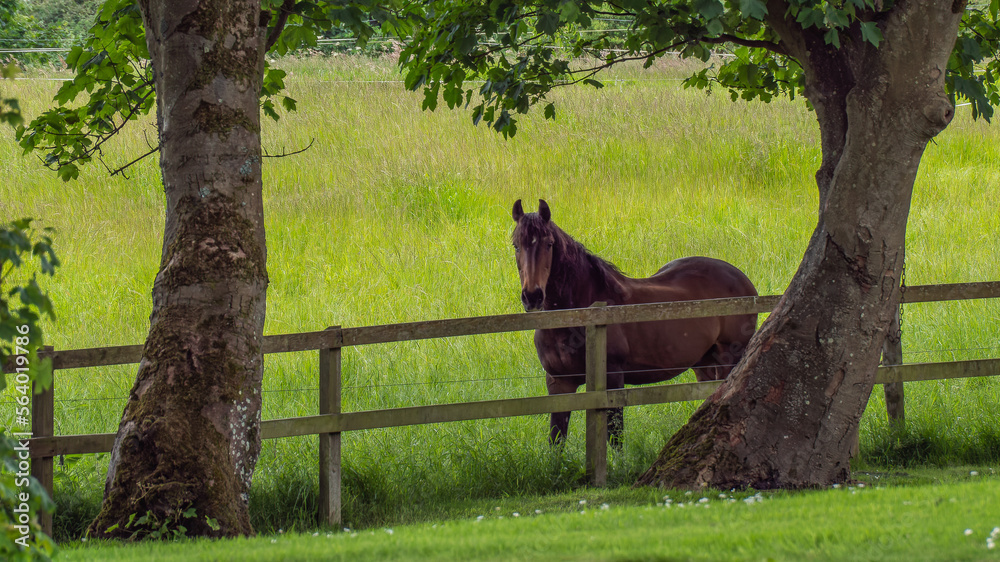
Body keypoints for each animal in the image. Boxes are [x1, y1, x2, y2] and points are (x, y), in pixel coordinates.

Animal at [511, 199, 758, 444]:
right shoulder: (559, 383)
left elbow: (615, 437)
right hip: (703, 364)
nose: (532, 296)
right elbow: (556, 440)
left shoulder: (611, 382)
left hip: (729, 359)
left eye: (549, 244)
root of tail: (744, 282)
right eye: (516, 245)